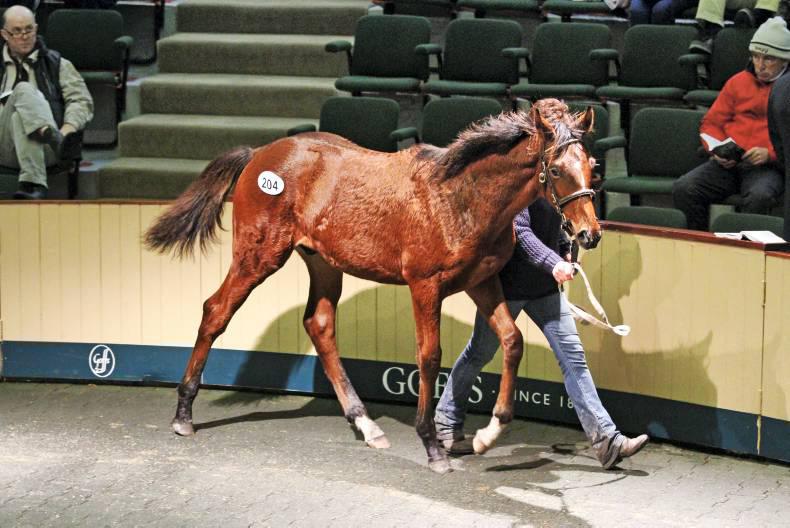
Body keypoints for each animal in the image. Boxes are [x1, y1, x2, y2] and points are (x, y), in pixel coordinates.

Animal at [145, 98, 601, 474]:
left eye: (593, 165)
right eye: (555, 169)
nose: (589, 235)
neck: (460, 197)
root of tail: (260, 154)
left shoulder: (483, 282)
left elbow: (512, 341)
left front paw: (489, 435)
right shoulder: (425, 287)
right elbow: (429, 357)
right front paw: (432, 446)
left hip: (323, 264)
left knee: (319, 324)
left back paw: (364, 422)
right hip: (258, 257)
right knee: (216, 310)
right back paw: (183, 414)